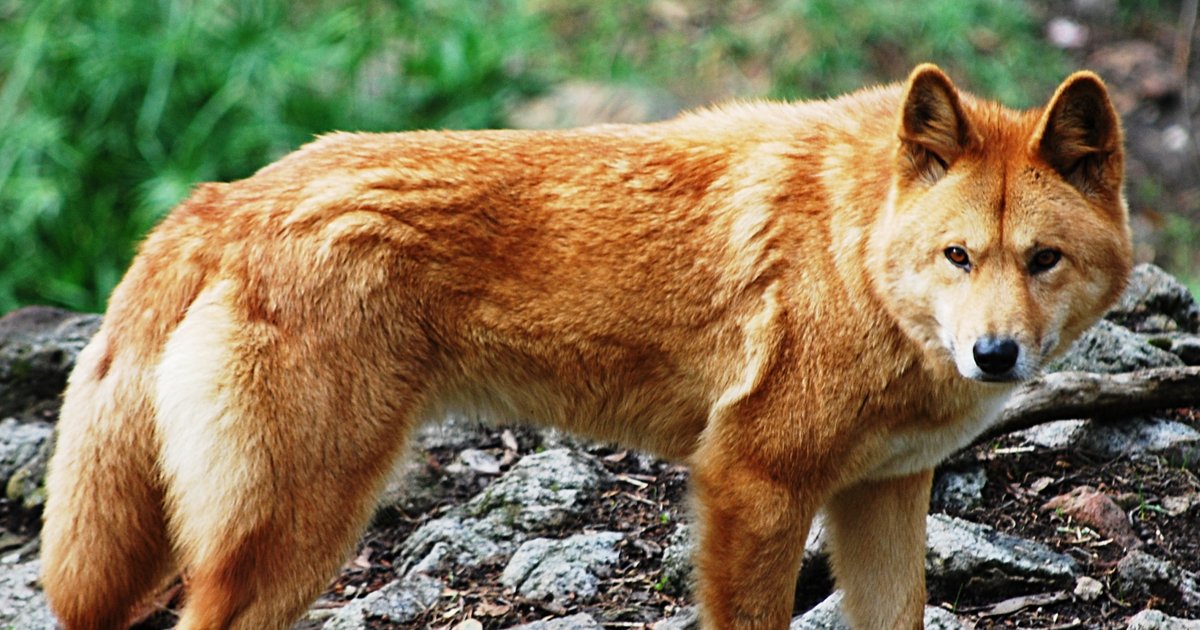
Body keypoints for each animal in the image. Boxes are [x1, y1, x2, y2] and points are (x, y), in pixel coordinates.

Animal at [41, 63, 1131, 630]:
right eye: (958, 256)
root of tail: (226, 197)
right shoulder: (752, 487)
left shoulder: (883, 495)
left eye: (1042, 260)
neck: (853, 250)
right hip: (295, 533)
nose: (996, 356)